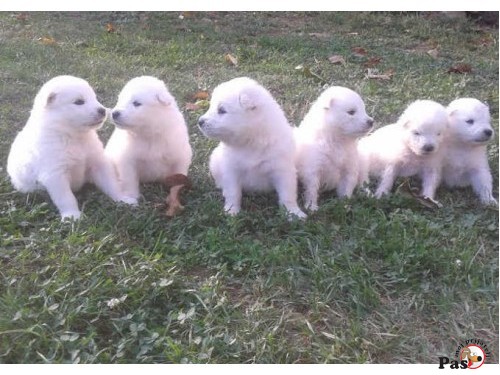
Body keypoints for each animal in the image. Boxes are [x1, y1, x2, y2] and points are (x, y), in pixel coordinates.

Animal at [6, 75, 132, 220]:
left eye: (94, 97)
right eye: (79, 102)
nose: (103, 110)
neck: (73, 136)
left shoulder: (99, 164)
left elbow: (112, 184)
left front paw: (123, 199)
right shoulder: (55, 175)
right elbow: (66, 198)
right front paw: (72, 216)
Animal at [104, 75, 192, 216]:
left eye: (136, 103)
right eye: (120, 100)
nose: (114, 113)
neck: (149, 134)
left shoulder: (180, 156)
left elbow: (178, 178)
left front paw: (175, 196)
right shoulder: (126, 161)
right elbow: (129, 180)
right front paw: (131, 198)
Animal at [197, 76, 306, 220]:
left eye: (221, 110)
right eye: (211, 106)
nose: (200, 122)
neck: (250, 142)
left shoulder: (283, 170)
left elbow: (287, 195)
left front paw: (294, 213)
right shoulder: (231, 170)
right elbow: (233, 193)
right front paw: (231, 211)